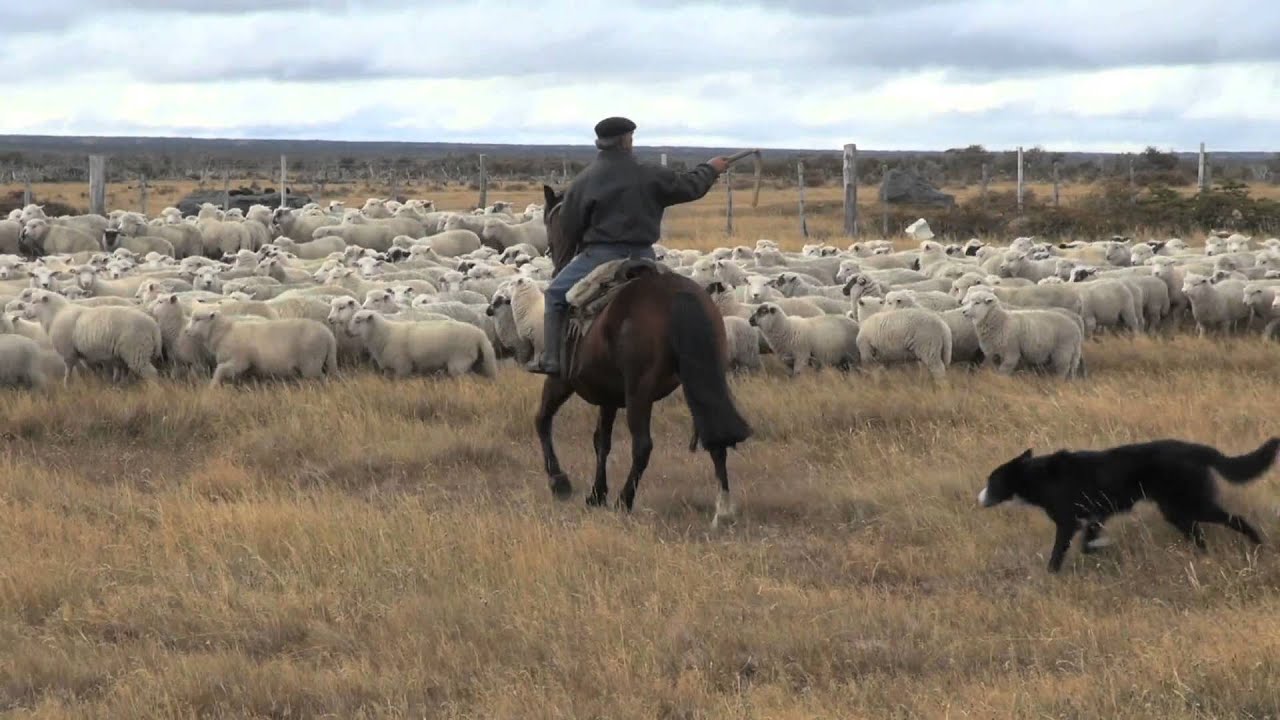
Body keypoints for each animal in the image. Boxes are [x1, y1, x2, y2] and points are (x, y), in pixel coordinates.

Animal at [22, 289, 162, 383]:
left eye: (34, 302)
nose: (25, 313)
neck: (56, 314)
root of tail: (153, 326)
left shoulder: (68, 353)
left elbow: (69, 372)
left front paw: (66, 386)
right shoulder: (86, 355)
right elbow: (95, 372)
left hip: (136, 351)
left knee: (152, 374)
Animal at [183, 309, 337, 387]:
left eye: (198, 319)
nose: (186, 331)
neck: (225, 332)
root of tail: (328, 335)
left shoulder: (239, 361)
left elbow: (219, 370)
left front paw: (212, 386)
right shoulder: (248, 368)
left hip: (311, 364)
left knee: (320, 379)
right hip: (319, 363)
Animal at [347, 310, 497, 379]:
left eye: (358, 320)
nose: (346, 332)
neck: (384, 334)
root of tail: (480, 334)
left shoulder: (403, 367)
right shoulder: (388, 369)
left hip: (459, 362)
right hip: (479, 364)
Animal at [533, 184, 752, 527]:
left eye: (550, 222)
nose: (554, 256)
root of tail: (677, 294)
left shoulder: (561, 380)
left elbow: (543, 420)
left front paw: (561, 483)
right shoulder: (608, 394)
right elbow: (601, 440)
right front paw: (596, 493)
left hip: (640, 389)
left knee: (643, 445)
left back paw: (625, 501)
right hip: (704, 377)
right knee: (715, 434)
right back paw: (724, 509)